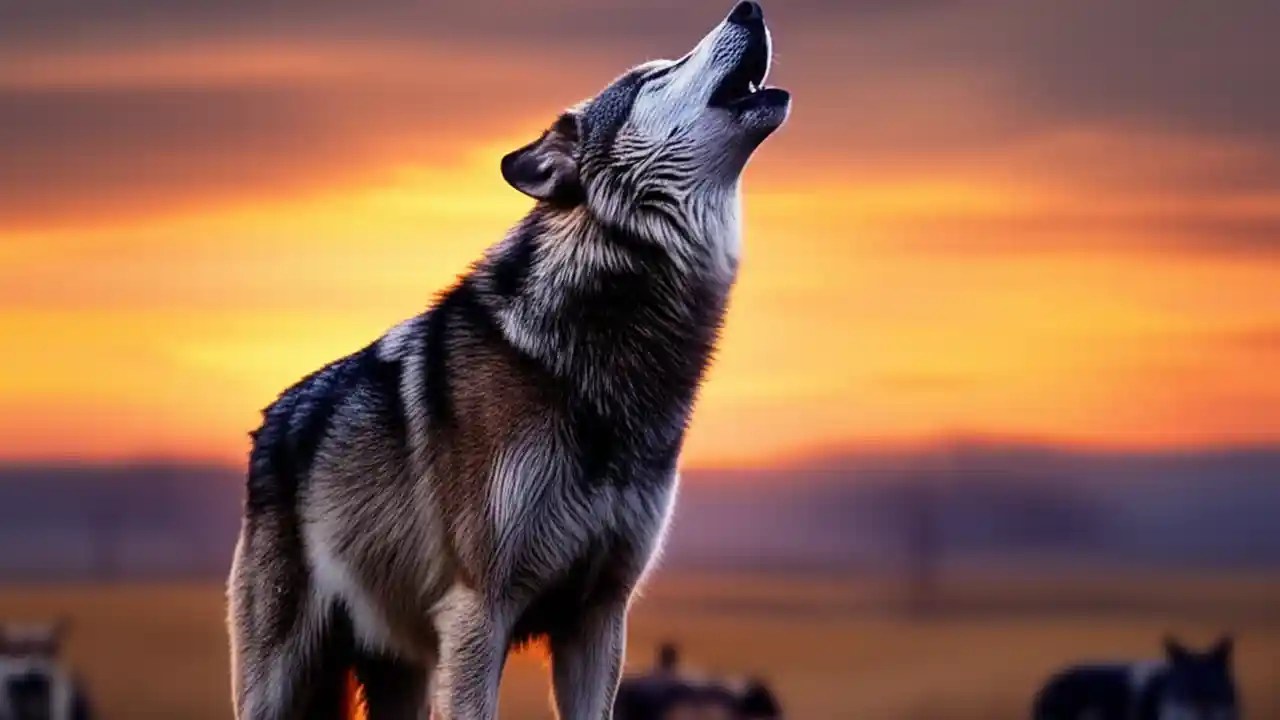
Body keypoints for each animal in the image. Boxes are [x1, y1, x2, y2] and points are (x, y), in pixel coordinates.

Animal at [225, 2, 790, 719]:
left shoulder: (600, 618)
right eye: (655, 76)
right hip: (283, 681)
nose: (750, 7)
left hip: (400, 671)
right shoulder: (478, 611)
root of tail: (274, 418)